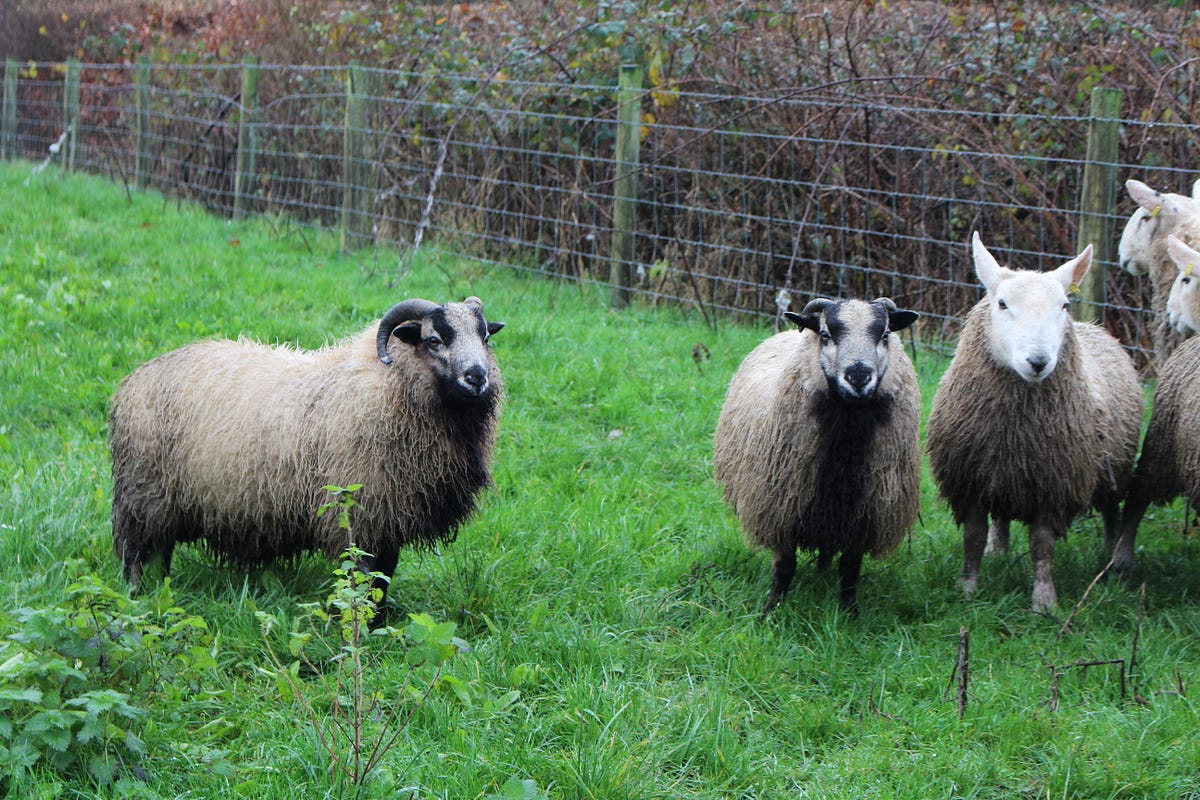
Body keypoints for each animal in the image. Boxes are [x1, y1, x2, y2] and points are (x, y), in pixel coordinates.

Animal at [109, 296, 504, 603]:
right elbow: (362, 582)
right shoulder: (358, 515)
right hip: (142, 493)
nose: (476, 377)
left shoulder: (389, 518)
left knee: (160, 553)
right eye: (434, 339)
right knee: (134, 553)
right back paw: (136, 597)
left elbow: (383, 580)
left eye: (485, 336)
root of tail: (136, 378)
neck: (389, 385)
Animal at [713, 297, 922, 615]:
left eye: (885, 335)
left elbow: (850, 569)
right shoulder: (782, 506)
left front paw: (850, 613)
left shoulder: (863, 517)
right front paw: (770, 611)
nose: (858, 377)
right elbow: (784, 566)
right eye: (825, 334)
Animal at [926, 233, 1142, 612]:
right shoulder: (971, 479)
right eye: (1002, 304)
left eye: (1065, 306)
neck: (1015, 431)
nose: (1038, 361)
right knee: (1000, 518)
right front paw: (968, 588)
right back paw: (997, 550)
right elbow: (972, 537)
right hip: (1003, 475)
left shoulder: (1054, 484)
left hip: (1114, 464)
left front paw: (1044, 602)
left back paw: (1111, 557)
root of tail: (1095, 328)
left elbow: (1043, 545)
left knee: (1112, 509)